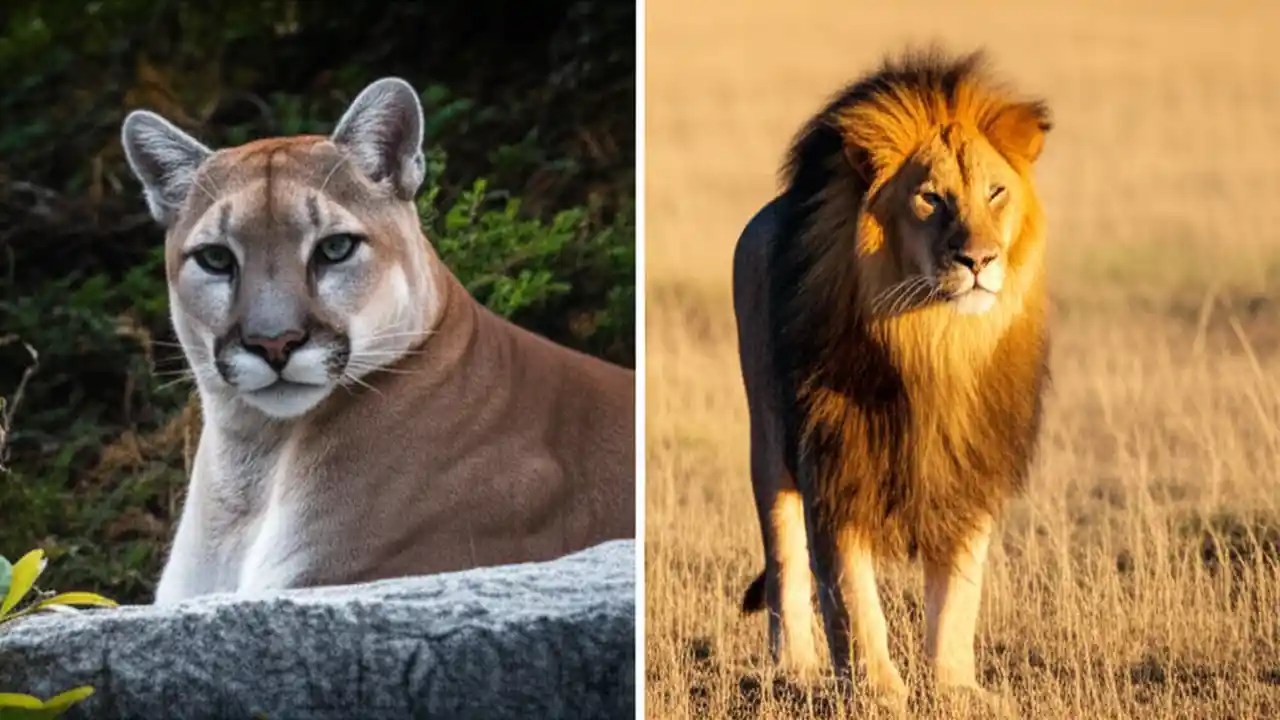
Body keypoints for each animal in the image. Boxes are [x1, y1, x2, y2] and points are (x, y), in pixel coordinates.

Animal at [733, 51, 1051, 701]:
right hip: (768, 441)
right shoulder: (832, 460)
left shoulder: (968, 470)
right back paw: (793, 668)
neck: (935, 344)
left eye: (996, 192)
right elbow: (849, 594)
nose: (978, 260)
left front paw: (955, 689)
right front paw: (877, 691)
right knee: (783, 561)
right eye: (931, 198)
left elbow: (958, 595)